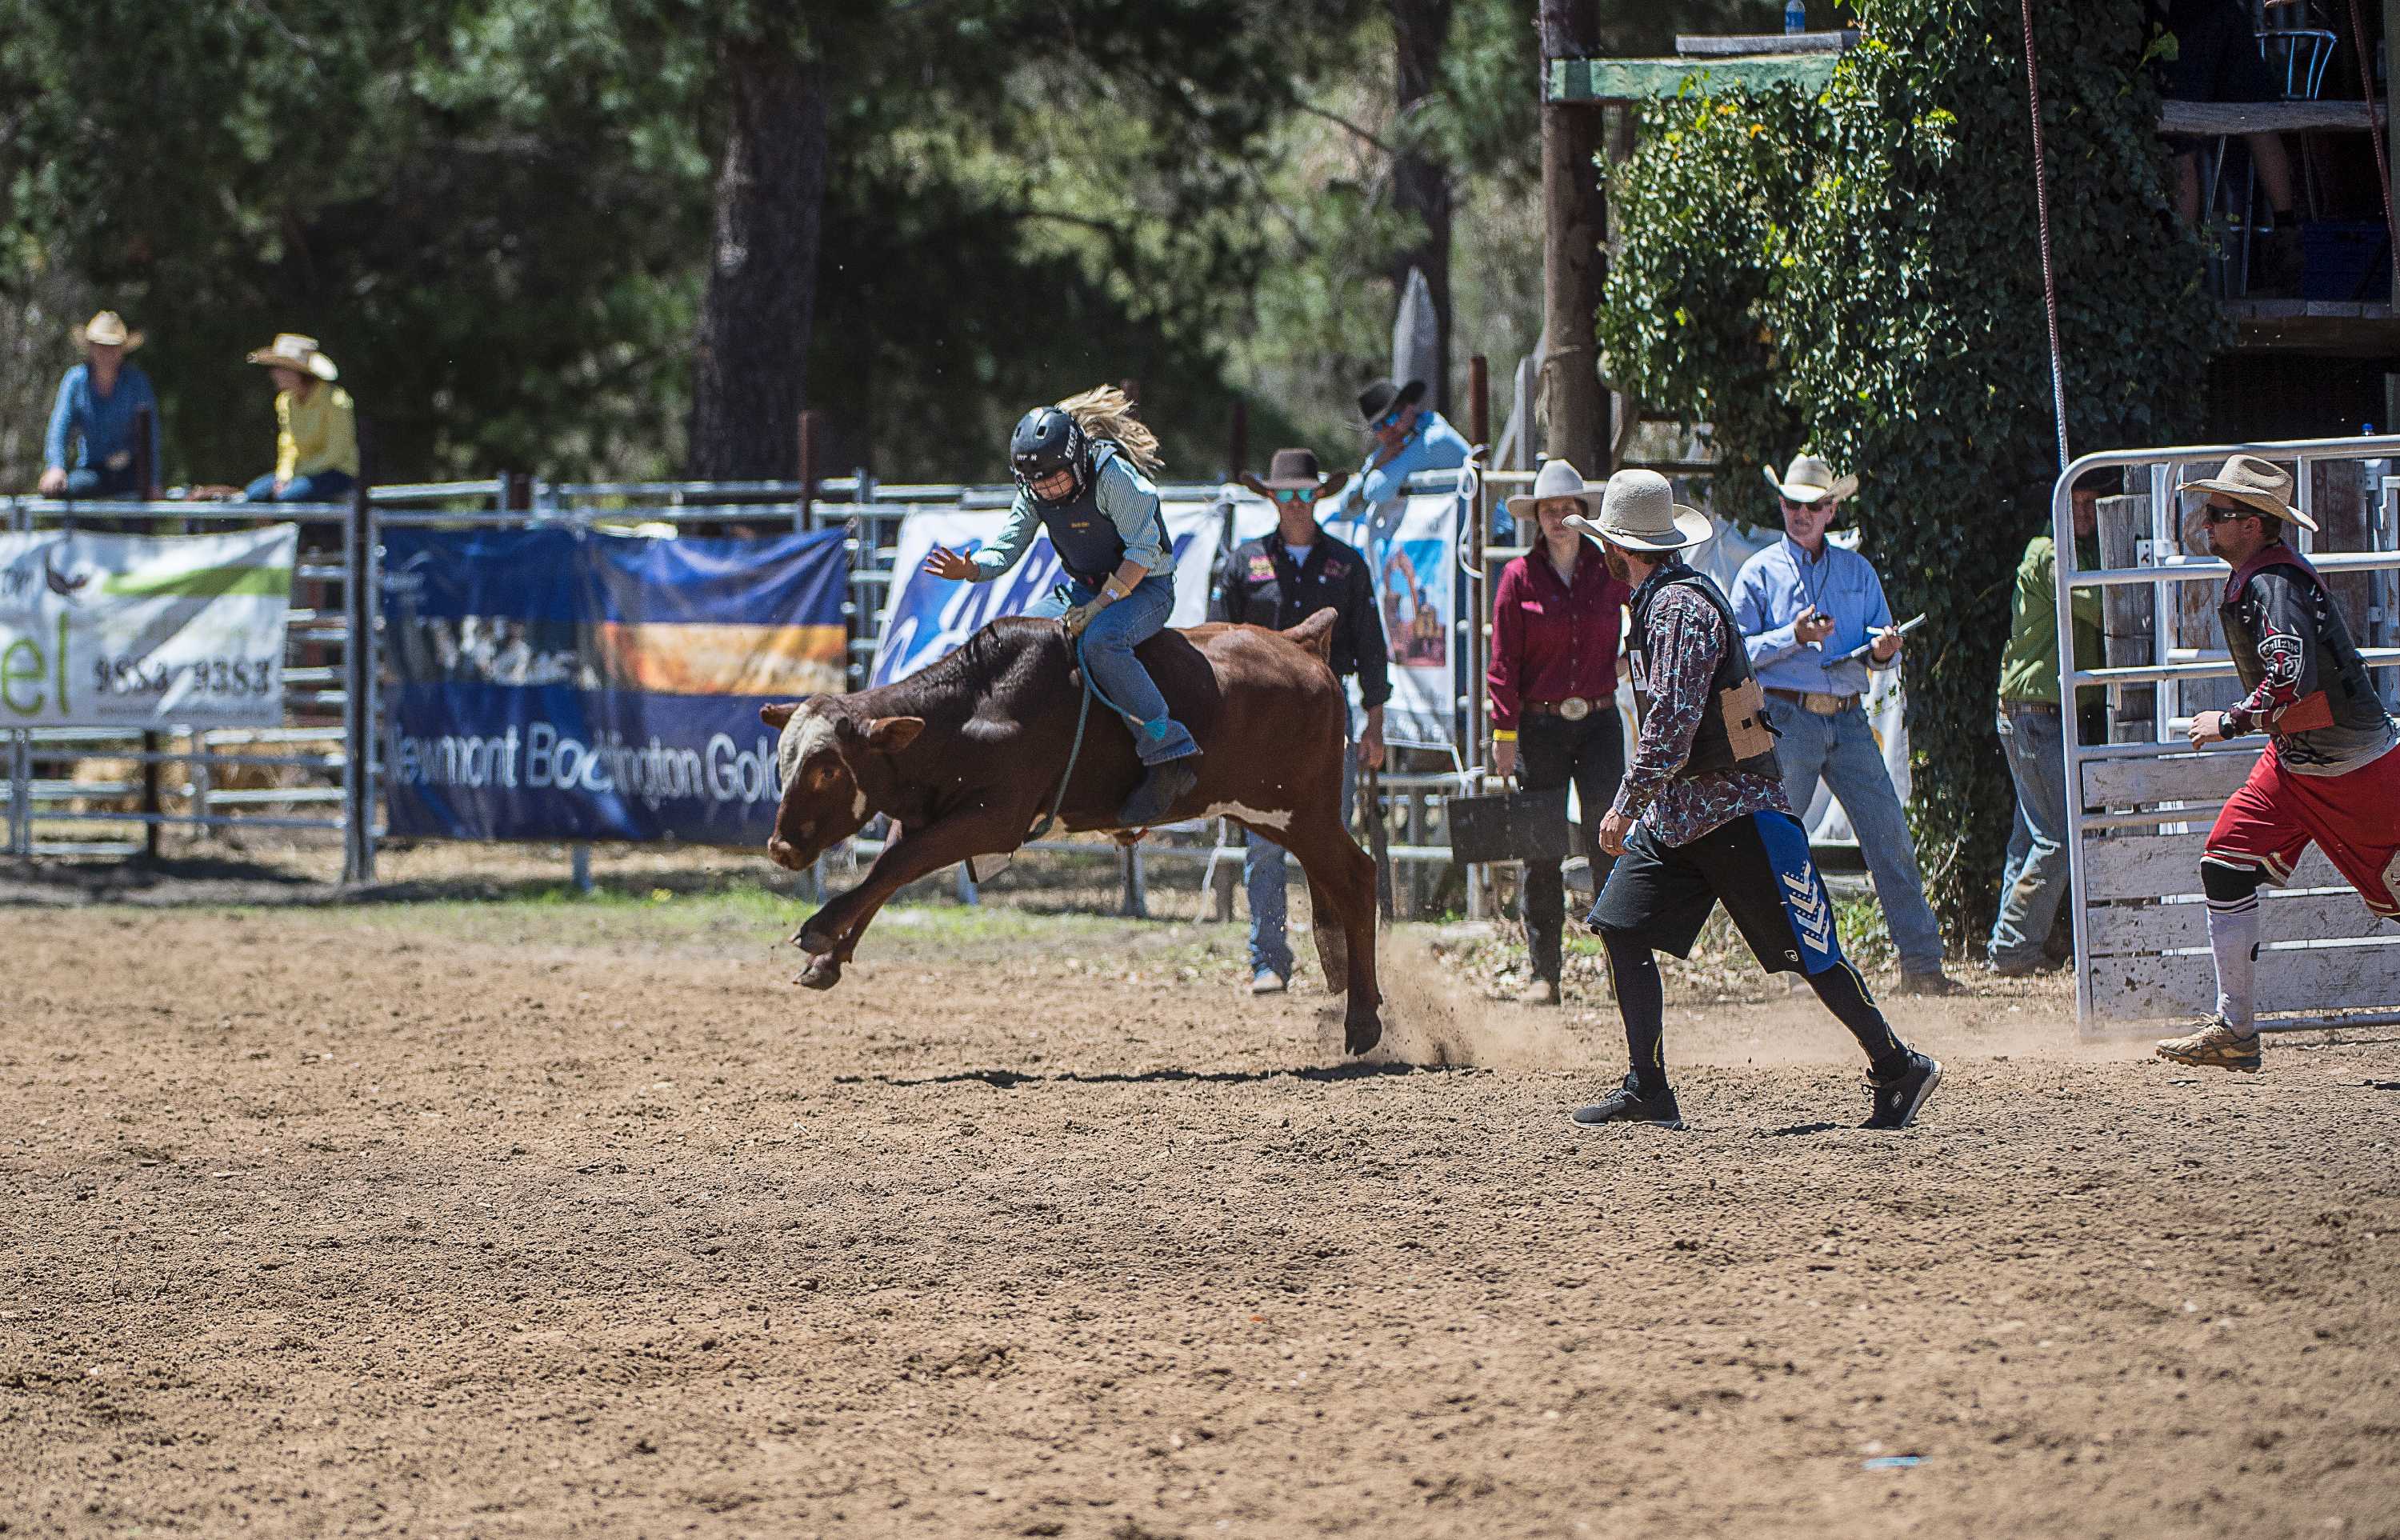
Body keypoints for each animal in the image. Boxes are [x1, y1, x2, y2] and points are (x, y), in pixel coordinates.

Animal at [759, 610, 1384, 1055]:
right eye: (785, 758)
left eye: (827, 767)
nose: (781, 847)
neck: (974, 708)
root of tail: (1300, 644)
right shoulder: (927, 813)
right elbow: (887, 872)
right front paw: (828, 961)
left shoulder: (992, 820)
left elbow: (895, 866)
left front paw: (817, 930)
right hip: (1278, 814)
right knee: (1329, 882)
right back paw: (1340, 977)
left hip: (1304, 810)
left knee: (1357, 876)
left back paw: (1363, 1022)